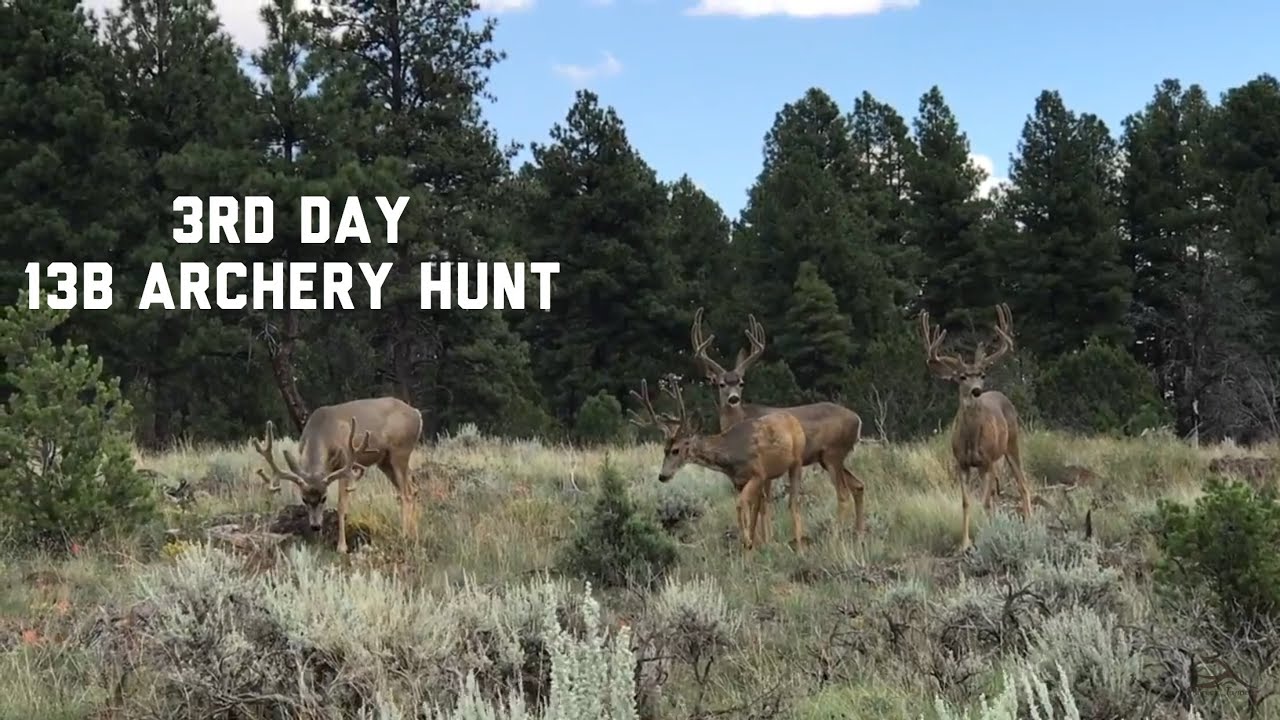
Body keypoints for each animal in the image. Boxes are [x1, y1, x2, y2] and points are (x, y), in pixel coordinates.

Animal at [252, 396, 423, 554]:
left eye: (324, 498)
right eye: (304, 499)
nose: (315, 526)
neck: (321, 432)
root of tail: (417, 413)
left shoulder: (345, 464)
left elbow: (341, 506)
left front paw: (341, 547)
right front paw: (319, 541)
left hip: (400, 451)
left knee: (406, 492)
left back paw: (404, 536)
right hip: (385, 460)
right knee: (412, 488)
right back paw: (414, 535)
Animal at [629, 375, 806, 551]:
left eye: (676, 450)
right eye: (664, 450)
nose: (662, 476)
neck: (731, 456)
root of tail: (793, 419)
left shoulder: (758, 473)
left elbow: (740, 505)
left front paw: (747, 540)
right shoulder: (738, 482)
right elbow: (749, 509)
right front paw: (750, 545)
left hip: (796, 461)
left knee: (793, 502)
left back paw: (799, 547)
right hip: (770, 477)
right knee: (765, 504)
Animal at [689, 307, 867, 539]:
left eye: (741, 383)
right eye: (720, 384)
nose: (734, 399)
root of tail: (857, 419)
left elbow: (764, 504)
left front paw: (766, 539)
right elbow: (763, 503)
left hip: (833, 453)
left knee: (843, 493)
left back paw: (836, 535)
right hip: (827, 457)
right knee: (859, 485)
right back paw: (859, 533)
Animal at [918, 303, 1033, 552]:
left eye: (982, 374)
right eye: (962, 377)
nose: (977, 390)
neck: (971, 440)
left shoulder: (986, 461)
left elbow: (985, 501)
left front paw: (984, 537)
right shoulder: (962, 463)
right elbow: (966, 502)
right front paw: (964, 544)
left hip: (1012, 443)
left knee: (1022, 483)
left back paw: (1029, 522)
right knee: (997, 494)